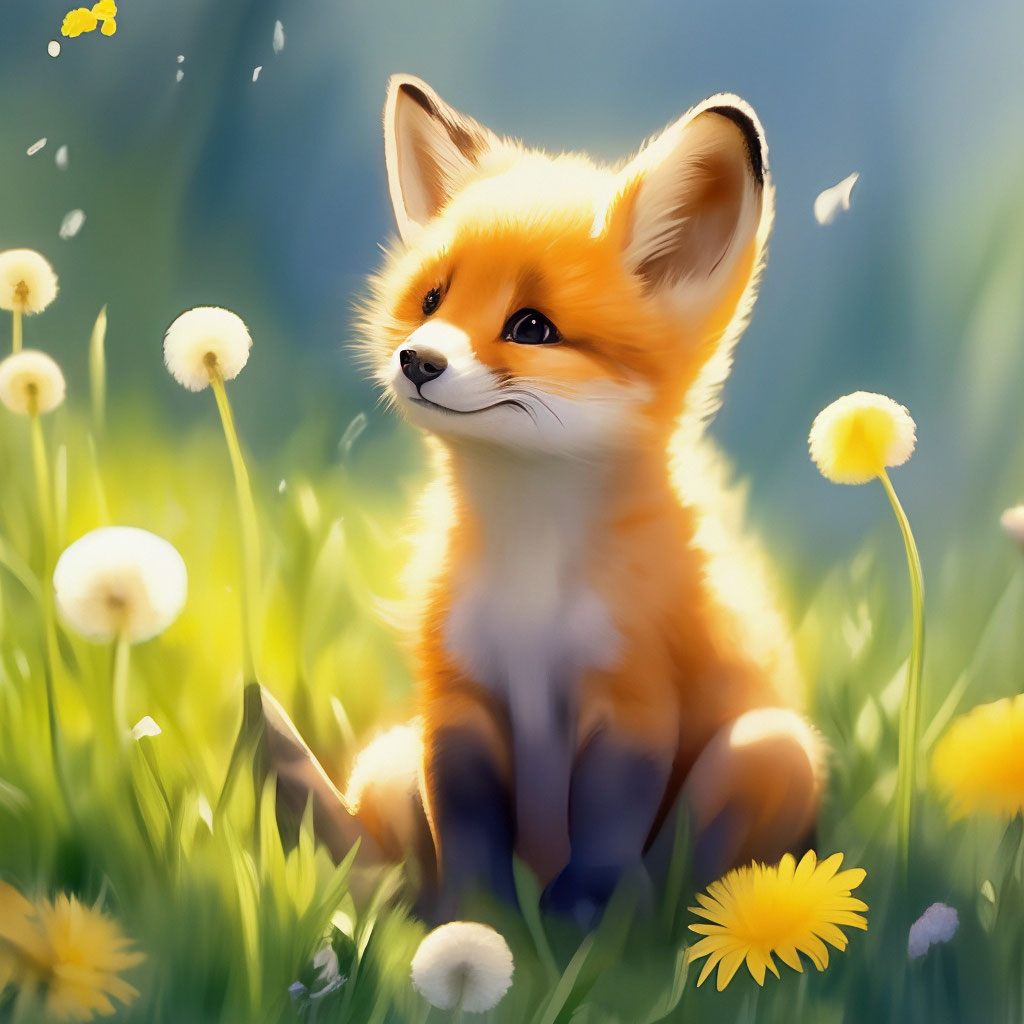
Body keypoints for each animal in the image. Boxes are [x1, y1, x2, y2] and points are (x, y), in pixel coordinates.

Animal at [269, 75, 824, 923]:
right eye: (432, 301)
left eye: (531, 327)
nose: (417, 360)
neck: (528, 584)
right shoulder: (457, 698)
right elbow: (465, 829)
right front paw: (475, 923)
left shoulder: (632, 697)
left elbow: (604, 831)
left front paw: (576, 927)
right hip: (386, 761)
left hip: (771, 753)